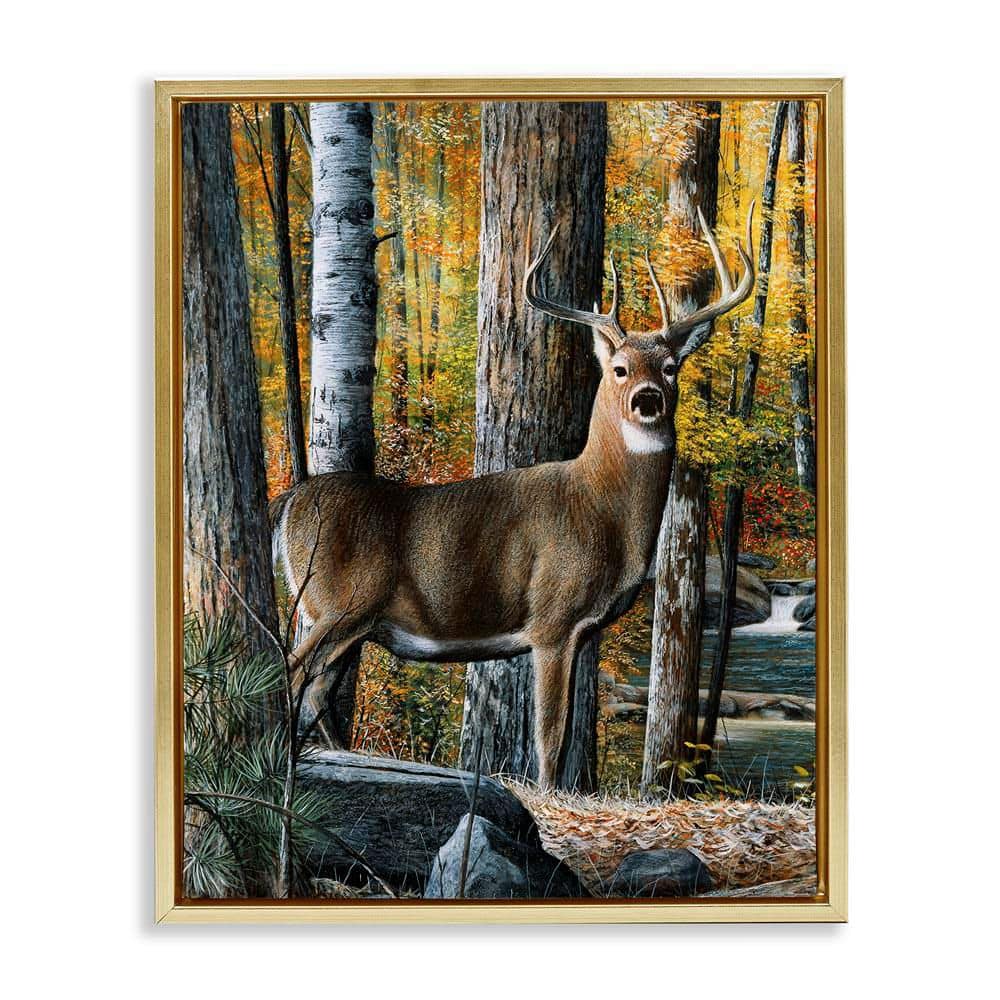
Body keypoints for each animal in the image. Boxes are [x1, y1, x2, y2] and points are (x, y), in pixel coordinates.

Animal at [270, 203, 755, 789]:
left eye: (670, 367)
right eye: (619, 369)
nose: (647, 399)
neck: (601, 510)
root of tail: (290, 502)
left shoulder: (583, 630)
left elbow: (564, 731)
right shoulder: (552, 616)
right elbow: (550, 734)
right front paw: (546, 794)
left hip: (349, 619)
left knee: (315, 690)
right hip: (339, 601)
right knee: (291, 671)